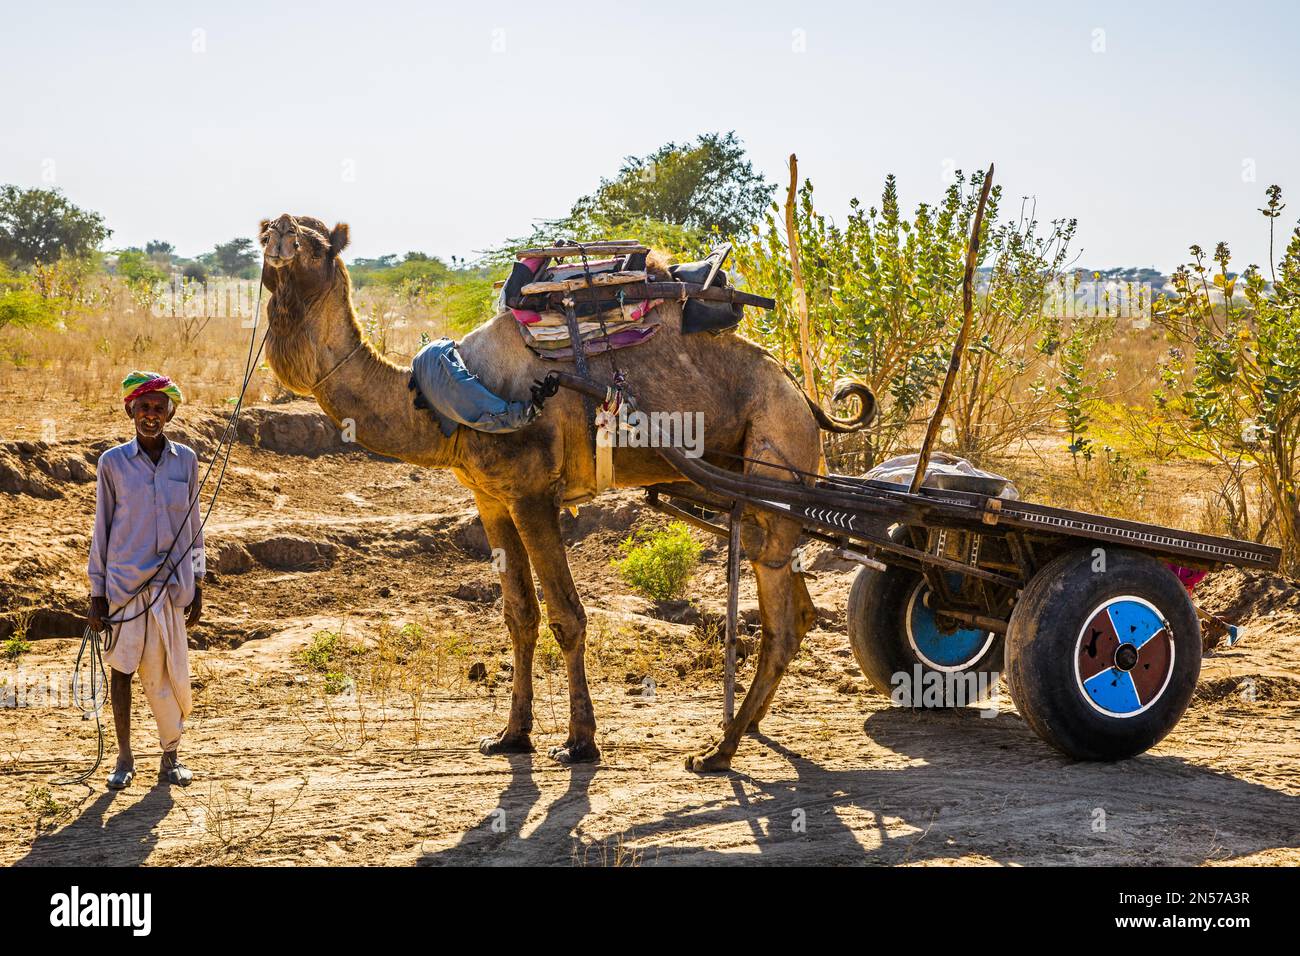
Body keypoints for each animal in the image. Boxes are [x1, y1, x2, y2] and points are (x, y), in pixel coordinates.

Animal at [257, 213, 871, 772]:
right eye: (269, 233)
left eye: (314, 244)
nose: (277, 233)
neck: (446, 397)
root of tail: (801, 394)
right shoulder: (490, 498)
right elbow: (518, 615)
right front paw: (510, 735)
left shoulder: (532, 494)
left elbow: (566, 616)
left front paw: (579, 743)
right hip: (757, 485)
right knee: (800, 607)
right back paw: (744, 731)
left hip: (776, 455)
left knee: (782, 618)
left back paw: (718, 750)